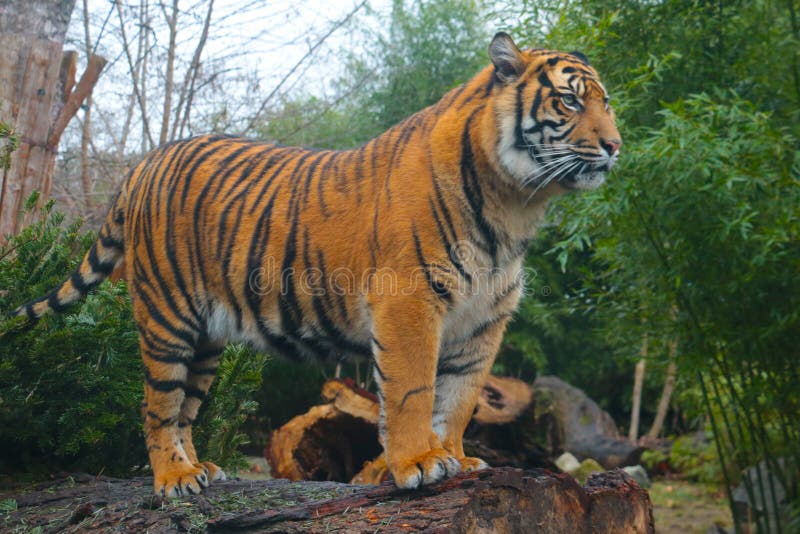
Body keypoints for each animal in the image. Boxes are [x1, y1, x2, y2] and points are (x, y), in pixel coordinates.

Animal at [14, 32, 621, 497]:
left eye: (606, 103)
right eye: (569, 103)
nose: (615, 146)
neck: (515, 205)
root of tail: (145, 161)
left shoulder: (483, 322)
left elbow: (460, 398)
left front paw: (456, 458)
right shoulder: (409, 302)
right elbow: (413, 392)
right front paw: (418, 463)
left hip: (207, 339)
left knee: (185, 406)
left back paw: (198, 468)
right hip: (167, 317)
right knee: (158, 406)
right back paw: (172, 479)